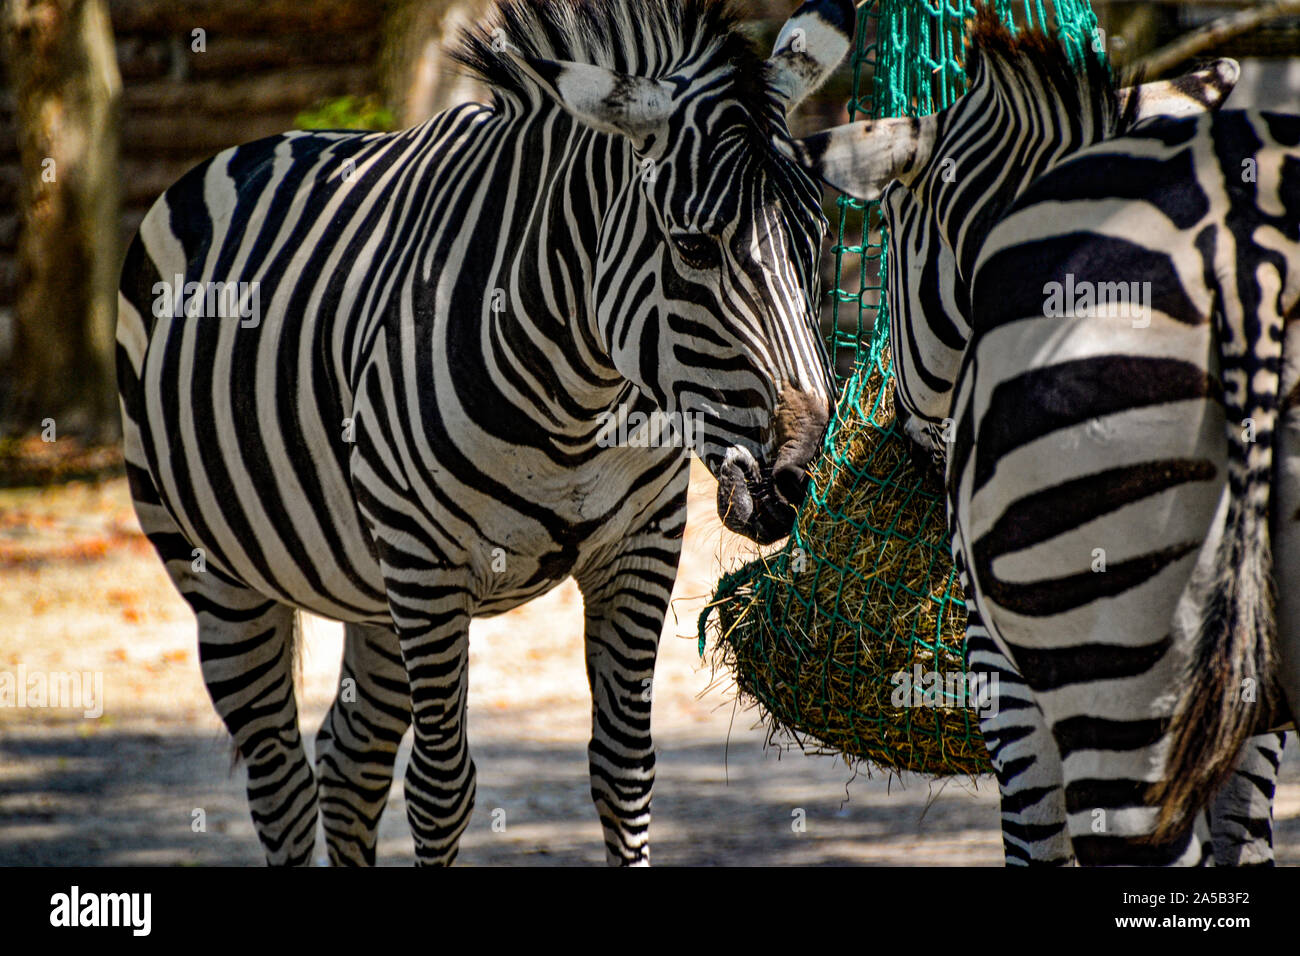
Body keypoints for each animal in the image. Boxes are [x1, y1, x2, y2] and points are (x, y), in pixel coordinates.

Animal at [115, 0, 853, 866]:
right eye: (694, 247)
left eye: (817, 242)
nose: (795, 477)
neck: (578, 400)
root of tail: (250, 144)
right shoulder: (426, 562)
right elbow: (441, 790)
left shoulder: (640, 542)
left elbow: (624, 771)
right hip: (218, 571)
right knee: (282, 780)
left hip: (372, 585)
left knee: (349, 761)